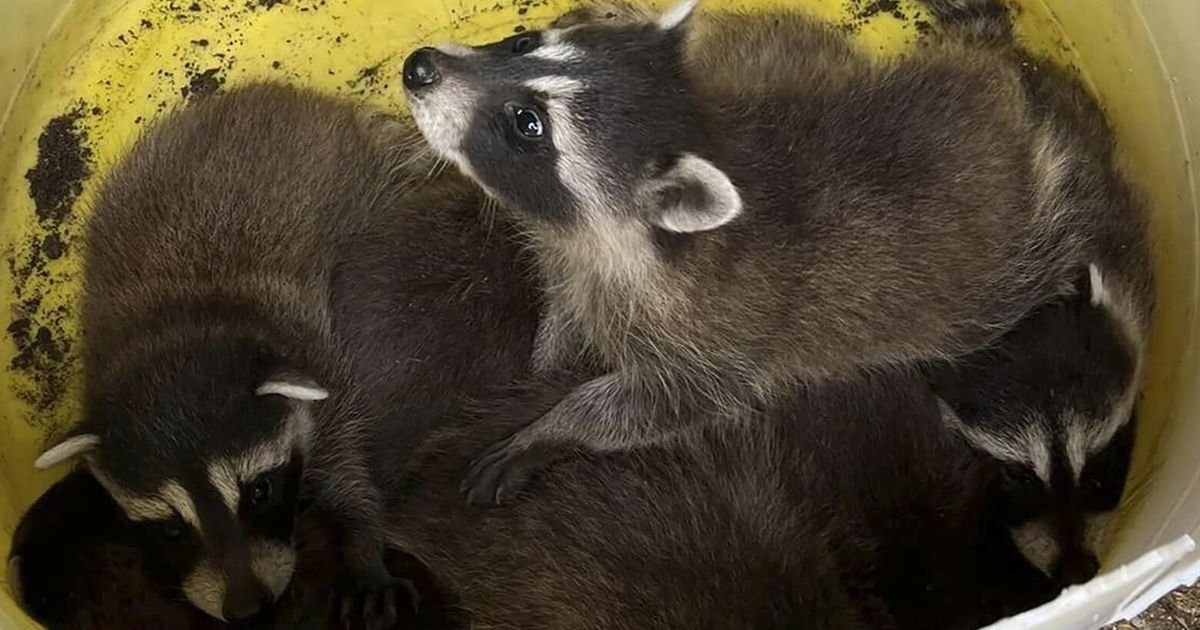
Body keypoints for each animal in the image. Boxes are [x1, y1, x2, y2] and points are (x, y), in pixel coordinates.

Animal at [28, 83, 539, 624]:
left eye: (259, 491)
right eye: (171, 528)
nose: (247, 608)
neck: (173, 329)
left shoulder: (322, 359)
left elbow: (347, 463)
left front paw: (361, 539)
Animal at [401, 0, 1093, 503]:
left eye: (529, 124)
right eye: (523, 44)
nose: (417, 65)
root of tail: (998, 82)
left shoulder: (716, 343)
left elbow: (651, 406)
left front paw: (555, 424)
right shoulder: (576, 265)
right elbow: (566, 318)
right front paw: (541, 367)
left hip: (1006, 273)